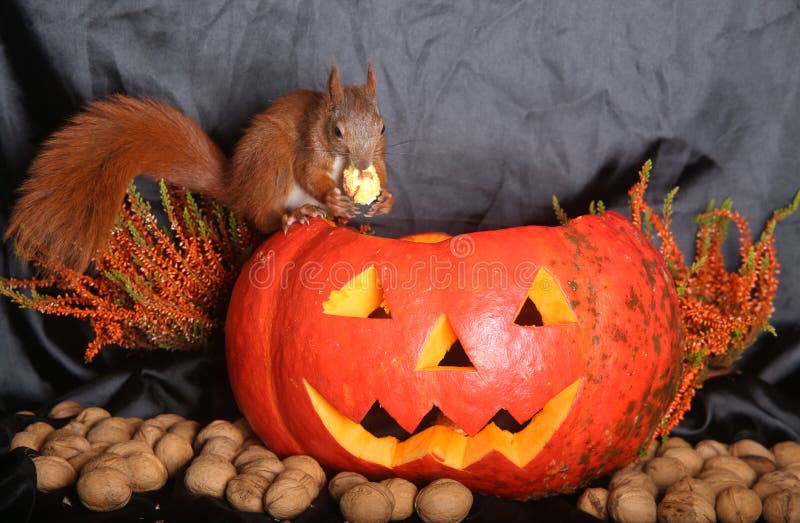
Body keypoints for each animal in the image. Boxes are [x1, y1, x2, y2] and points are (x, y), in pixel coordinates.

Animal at [5, 64, 393, 274]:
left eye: (382, 127)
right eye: (337, 131)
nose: (360, 164)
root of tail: (237, 187)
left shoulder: (378, 155)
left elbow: (382, 170)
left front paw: (385, 200)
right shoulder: (308, 147)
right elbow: (309, 174)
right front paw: (333, 197)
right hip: (270, 160)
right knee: (264, 218)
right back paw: (295, 216)